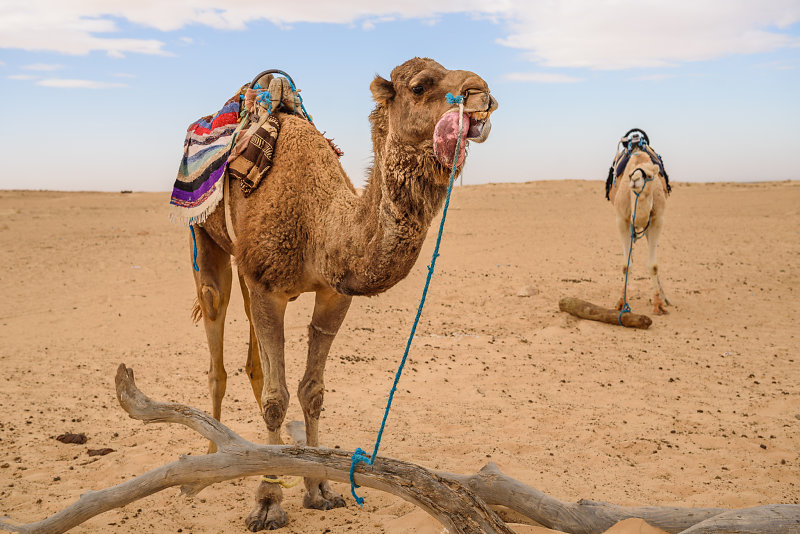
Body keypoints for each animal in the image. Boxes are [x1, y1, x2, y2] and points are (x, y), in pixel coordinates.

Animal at [188, 57, 497, 531]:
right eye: (420, 86)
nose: (482, 94)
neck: (319, 224)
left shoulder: (334, 295)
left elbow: (310, 391)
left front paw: (319, 489)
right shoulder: (269, 287)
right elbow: (277, 399)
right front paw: (268, 502)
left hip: (244, 265)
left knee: (255, 355)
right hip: (207, 238)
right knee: (215, 324)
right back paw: (209, 463)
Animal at [606, 130, 671, 315]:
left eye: (650, 176)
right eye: (629, 174)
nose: (634, 179)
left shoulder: (657, 219)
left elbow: (653, 265)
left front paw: (658, 304)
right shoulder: (622, 219)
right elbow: (626, 265)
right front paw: (621, 303)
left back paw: (665, 298)